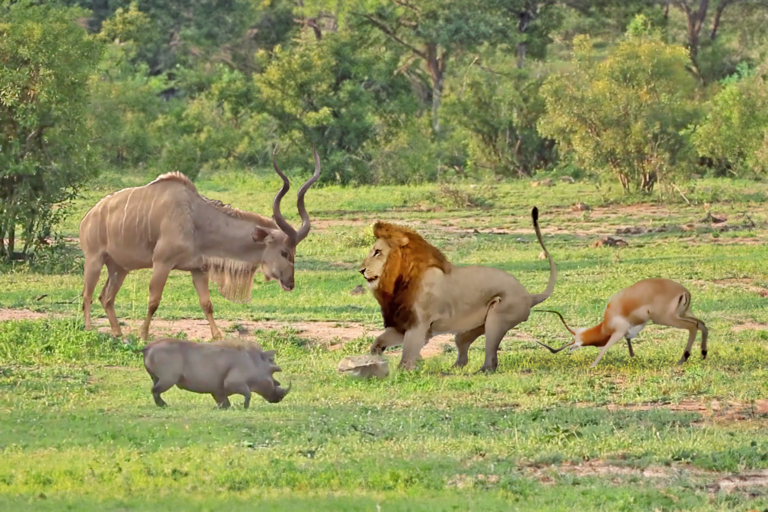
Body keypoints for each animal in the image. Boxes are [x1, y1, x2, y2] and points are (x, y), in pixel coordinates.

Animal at [79, 148, 321, 341]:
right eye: (284, 251)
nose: (290, 283)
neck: (195, 218)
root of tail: (88, 218)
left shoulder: (198, 269)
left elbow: (207, 303)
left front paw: (217, 335)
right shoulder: (162, 263)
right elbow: (154, 300)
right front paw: (143, 335)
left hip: (119, 269)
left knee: (106, 297)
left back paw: (118, 333)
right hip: (94, 260)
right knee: (87, 295)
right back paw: (90, 331)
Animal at [358, 207, 557, 372]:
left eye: (377, 252)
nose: (361, 270)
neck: (398, 280)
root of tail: (529, 296)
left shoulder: (418, 326)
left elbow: (407, 357)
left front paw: (400, 374)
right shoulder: (403, 324)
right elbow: (379, 341)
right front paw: (373, 358)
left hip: (497, 318)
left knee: (491, 360)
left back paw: (479, 372)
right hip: (469, 330)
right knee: (464, 353)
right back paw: (452, 370)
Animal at [534, 278, 708, 368]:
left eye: (576, 339)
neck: (606, 324)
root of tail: (684, 291)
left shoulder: (618, 332)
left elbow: (605, 348)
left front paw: (592, 365)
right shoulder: (628, 333)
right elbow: (630, 346)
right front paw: (632, 356)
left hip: (667, 318)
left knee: (693, 326)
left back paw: (683, 359)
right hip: (683, 314)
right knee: (702, 324)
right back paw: (703, 354)